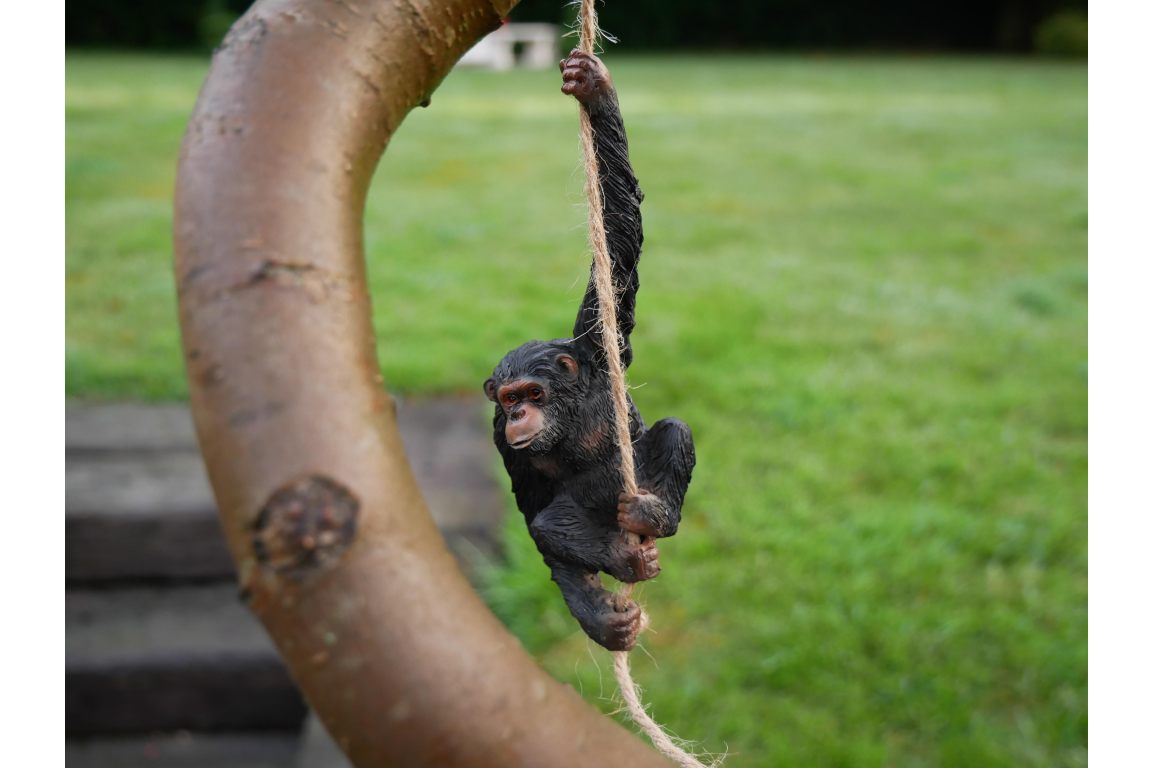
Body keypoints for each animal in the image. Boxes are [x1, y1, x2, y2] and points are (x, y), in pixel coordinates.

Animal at [484, 50, 696, 652]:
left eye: (533, 393)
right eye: (508, 401)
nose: (520, 414)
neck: (571, 411)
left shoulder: (601, 341)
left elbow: (620, 231)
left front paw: (596, 90)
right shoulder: (501, 440)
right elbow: (532, 509)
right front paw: (596, 617)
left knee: (674, 432)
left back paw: (652, 518)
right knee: (550, 527)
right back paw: (623, 560)